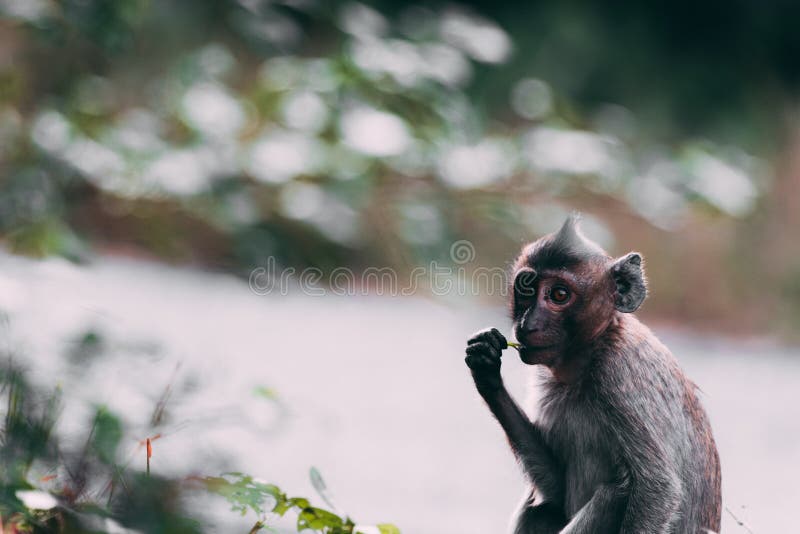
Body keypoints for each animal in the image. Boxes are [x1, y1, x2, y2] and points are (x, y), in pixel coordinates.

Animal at [464, 215, 721, 534]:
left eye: (559, 294)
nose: (528, 324)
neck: (592, 351)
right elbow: (556, 490)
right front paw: (486, 367)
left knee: (614, 493)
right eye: (526, 288)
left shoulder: (619, 379)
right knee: (541, 509)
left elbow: (659, 489)